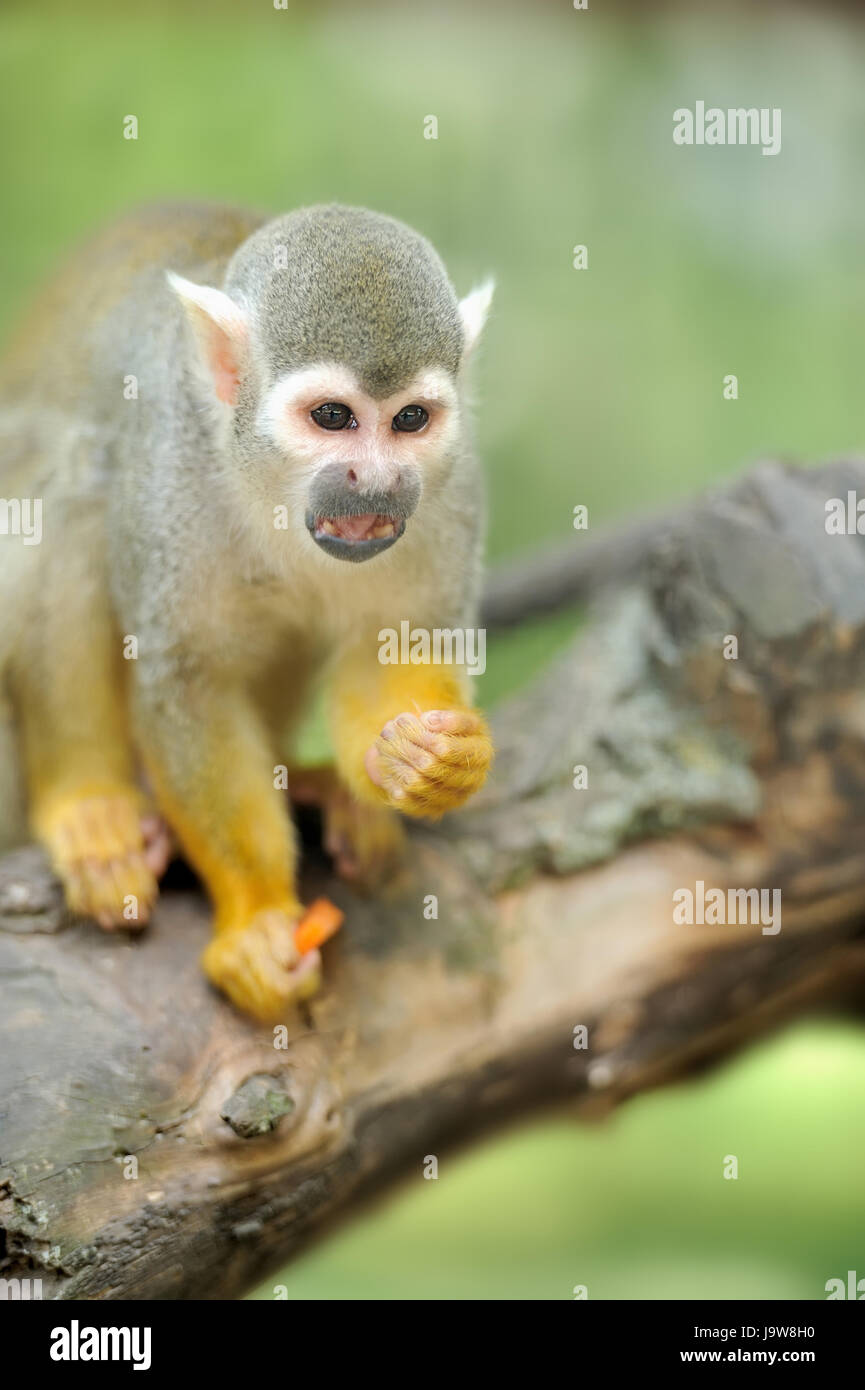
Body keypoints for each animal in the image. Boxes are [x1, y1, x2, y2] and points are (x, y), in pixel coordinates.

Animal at [0, 201, 495, 1020]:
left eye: (410, 421)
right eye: (332, 416)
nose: (378, 481)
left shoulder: (451, 493)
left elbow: (391, 650)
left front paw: (430, 763)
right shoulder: (171, 474)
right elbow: (188, 681)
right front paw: (257, 918)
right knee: (71, 487)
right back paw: (89, 803)